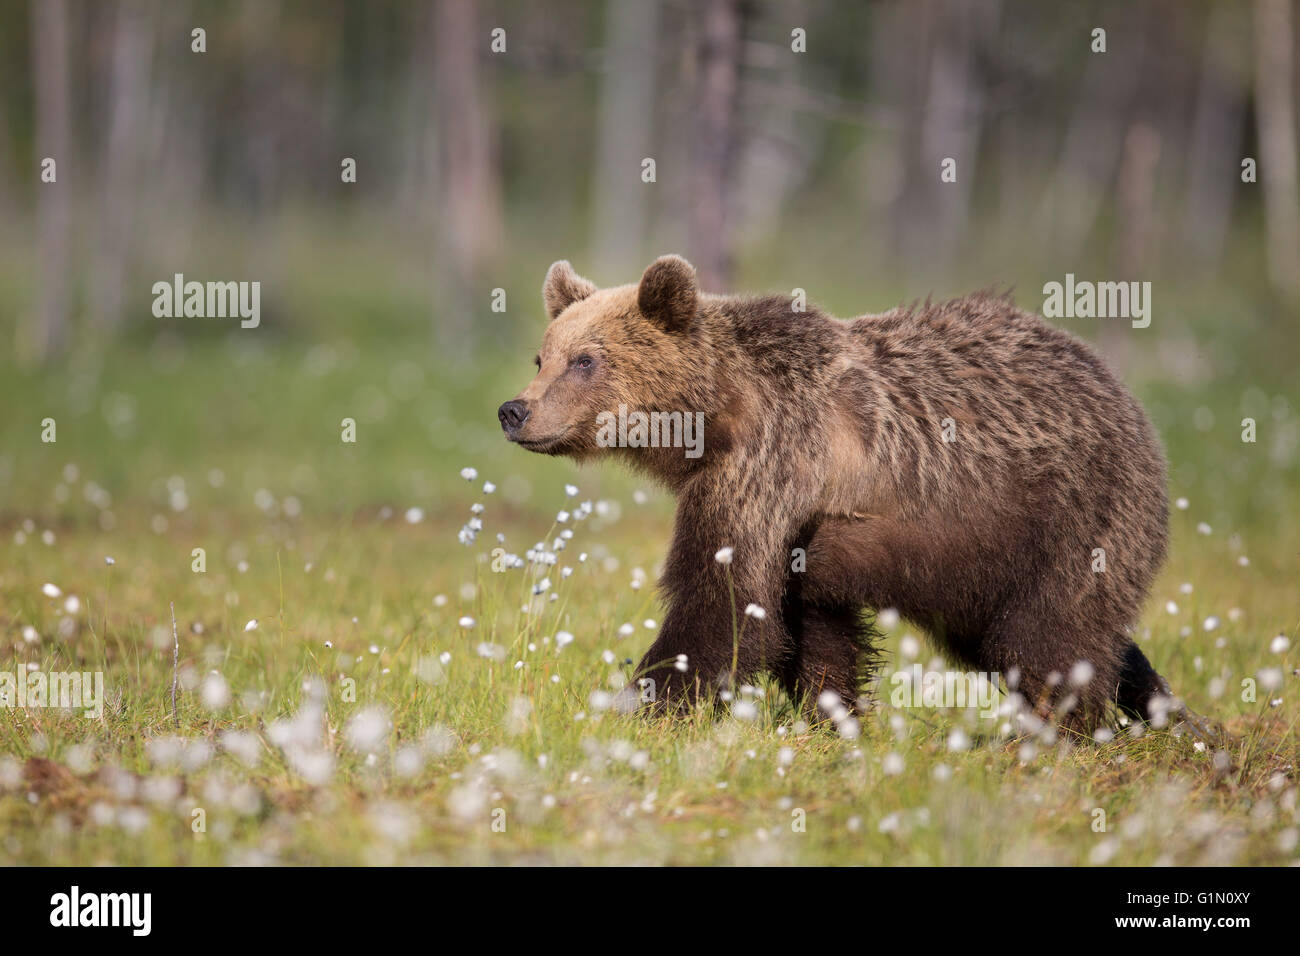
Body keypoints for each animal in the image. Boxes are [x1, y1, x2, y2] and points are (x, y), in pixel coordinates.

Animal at [499, 254, 1174, 733]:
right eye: (541, 356)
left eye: (585, 360)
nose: (515, 411)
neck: (713, 421)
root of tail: (1120, 389)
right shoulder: (802, 528)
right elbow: (811, 627)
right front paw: (829, 716)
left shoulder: (767, 465)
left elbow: (721, 602)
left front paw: (645, 708)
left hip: (1068, 513)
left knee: (1052, 634)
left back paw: (1058, 731)